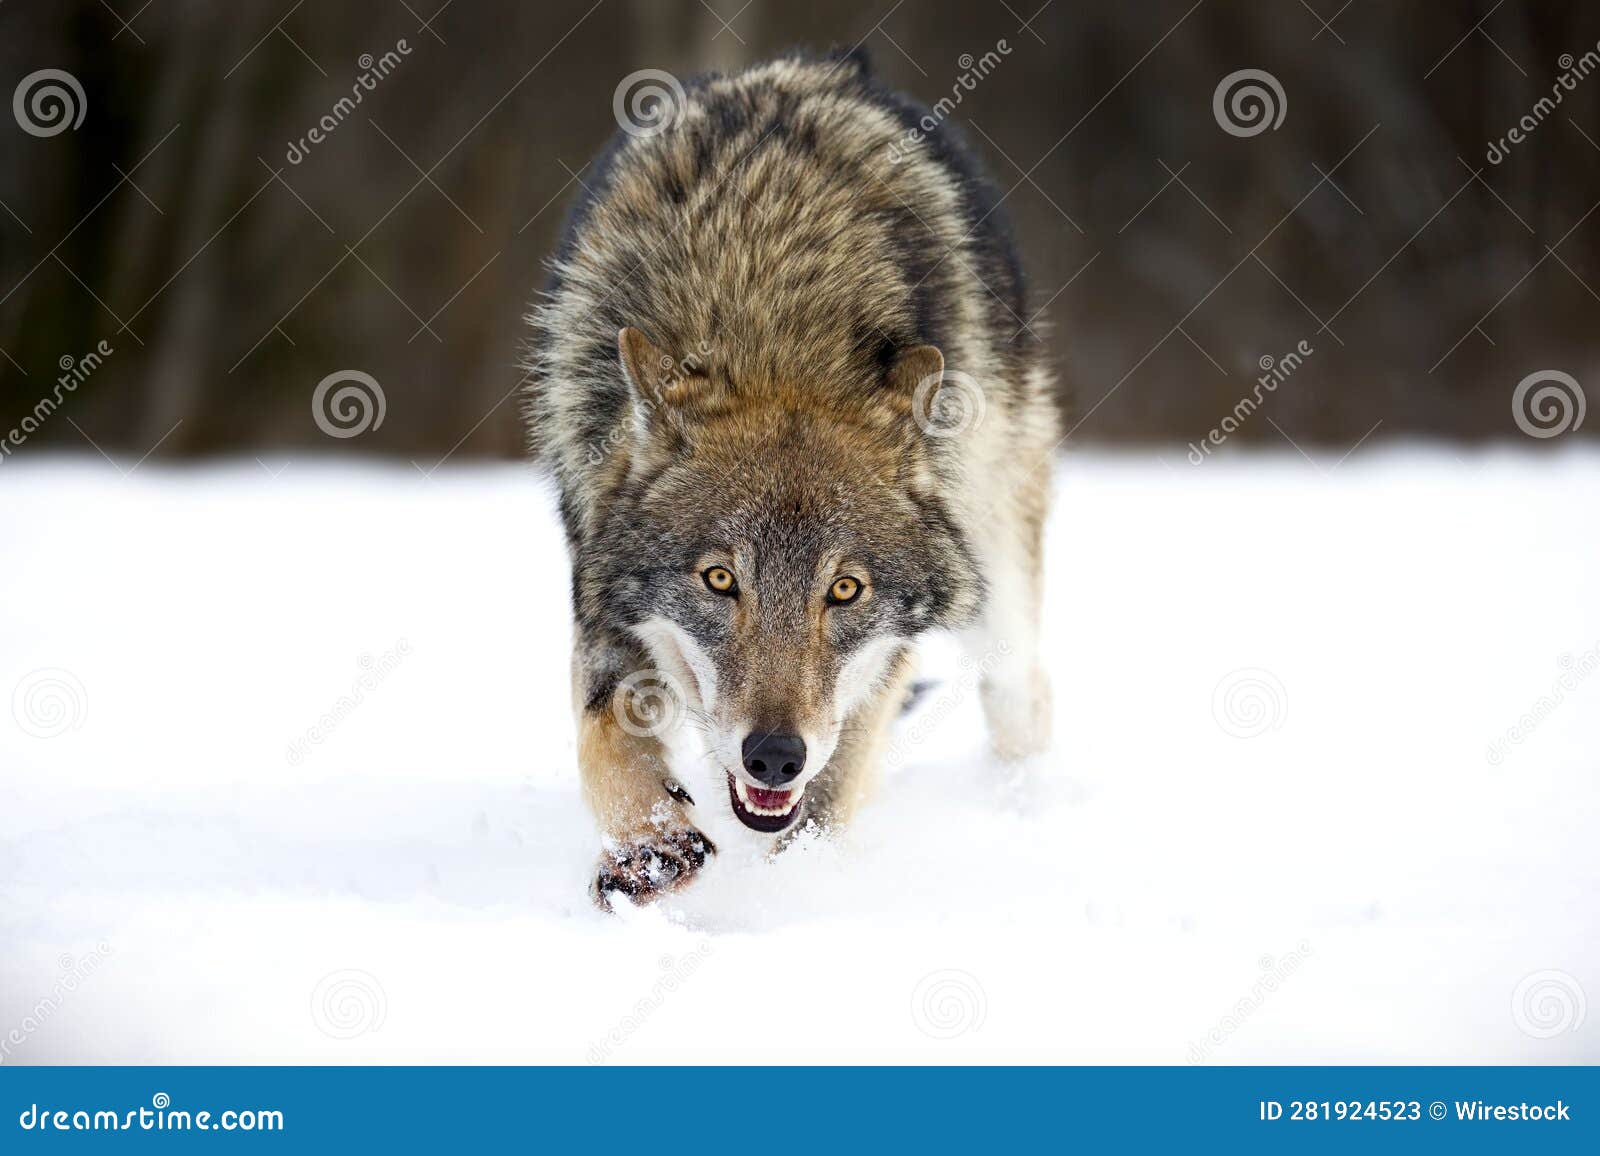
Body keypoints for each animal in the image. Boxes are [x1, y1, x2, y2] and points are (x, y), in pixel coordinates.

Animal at [524, 50, 1058, 907]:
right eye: (718, 580)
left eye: (845, 590)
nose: (775, 756)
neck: (767, 314)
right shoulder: (601, 588)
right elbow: (603, 731)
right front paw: (649, 844)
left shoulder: (877, 671)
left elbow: (829, 794)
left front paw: (789, 899)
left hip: (999, 571)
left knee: (1021, 697)